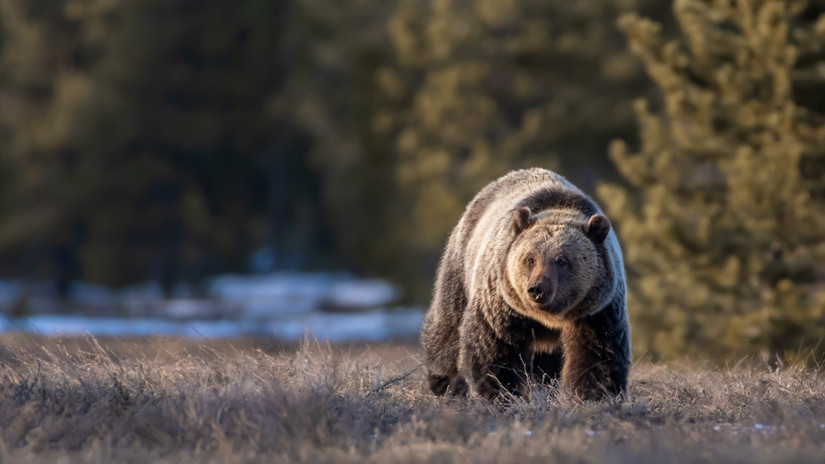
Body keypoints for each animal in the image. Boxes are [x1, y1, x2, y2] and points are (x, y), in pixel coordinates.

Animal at [420, 168, 630, 402]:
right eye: (530, 259)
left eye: (562, 261)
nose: (537, 289)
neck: (549, 317)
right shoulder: (502, 304)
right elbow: (494, 347)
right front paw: (499, 393)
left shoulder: (597, 311)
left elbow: (596, 353)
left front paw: (592, 395)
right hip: (462, 264)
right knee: (448, 323)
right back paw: (442, 380)